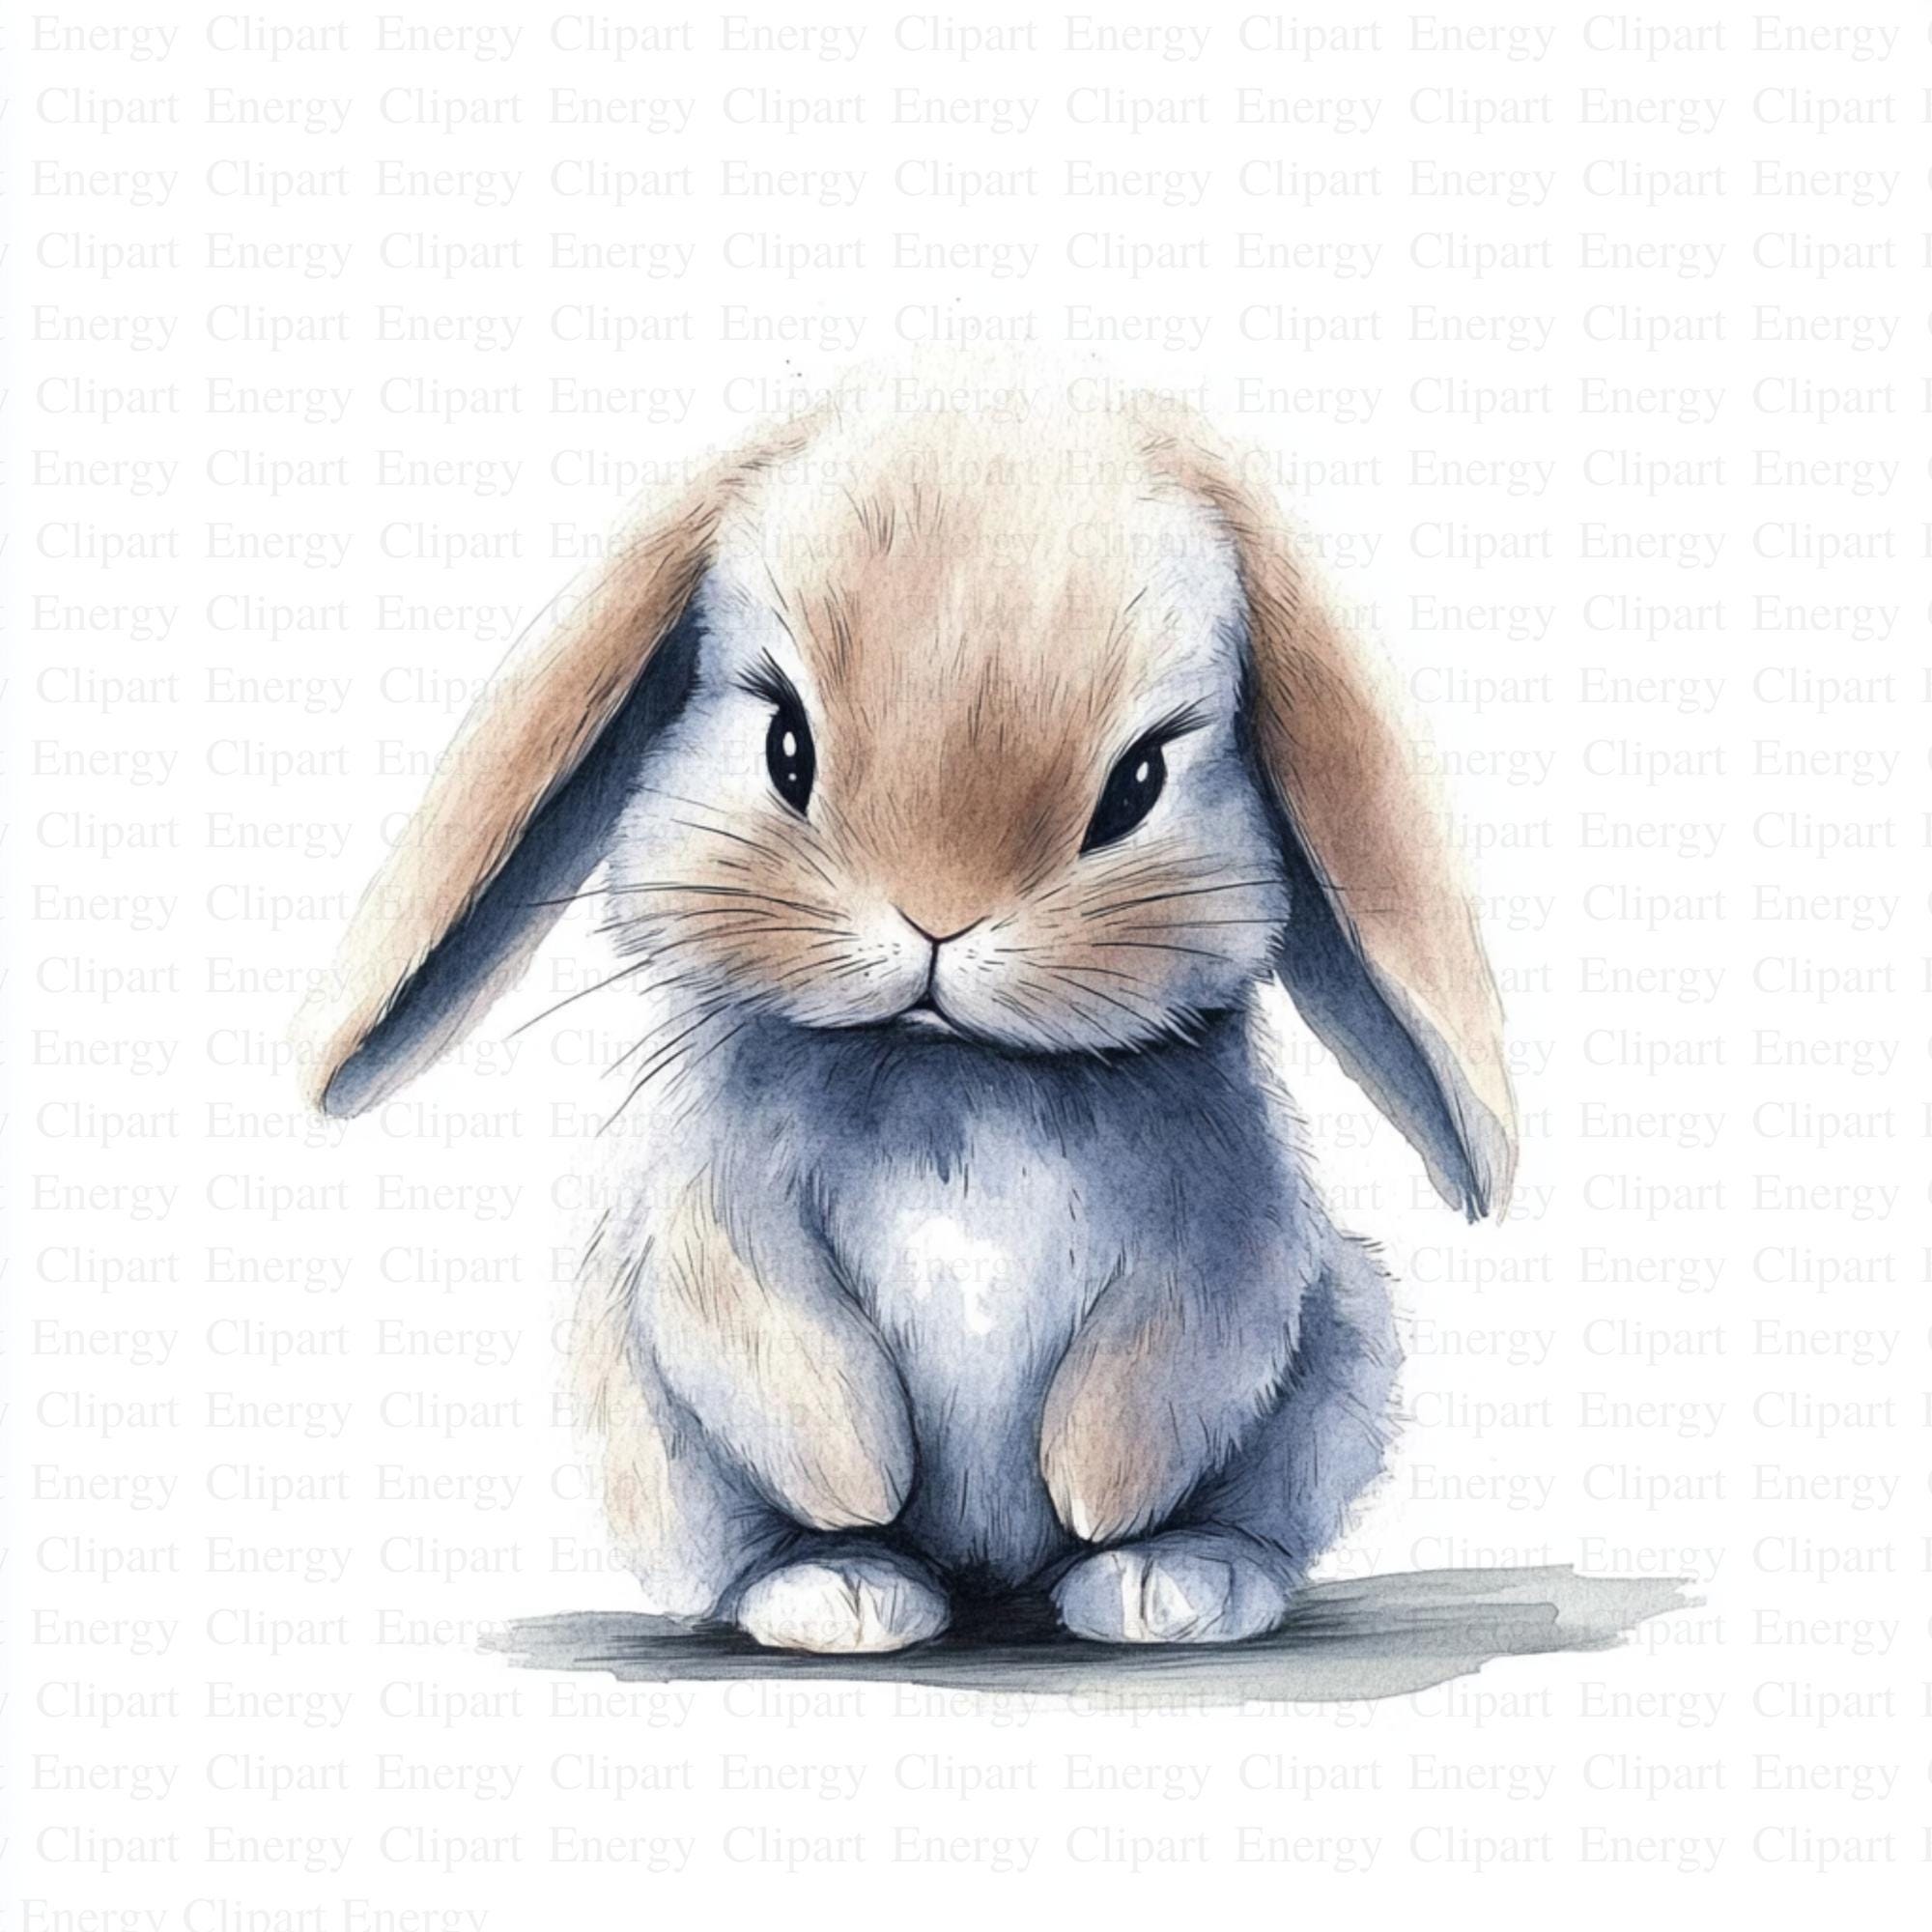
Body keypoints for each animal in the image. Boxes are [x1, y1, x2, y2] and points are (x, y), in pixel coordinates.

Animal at [298, 375, 1515, 1653]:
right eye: (785, 745)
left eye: (1136, 782)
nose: (938, 920)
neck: (957, 1073)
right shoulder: (713, 1217)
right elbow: (763, 1326)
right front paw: (859, 1484)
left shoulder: (1236, 1225)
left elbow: (1181, 1344)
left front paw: (1096, 1487)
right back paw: (840, 1589)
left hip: (1347, 1349)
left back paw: (1166, 1582)